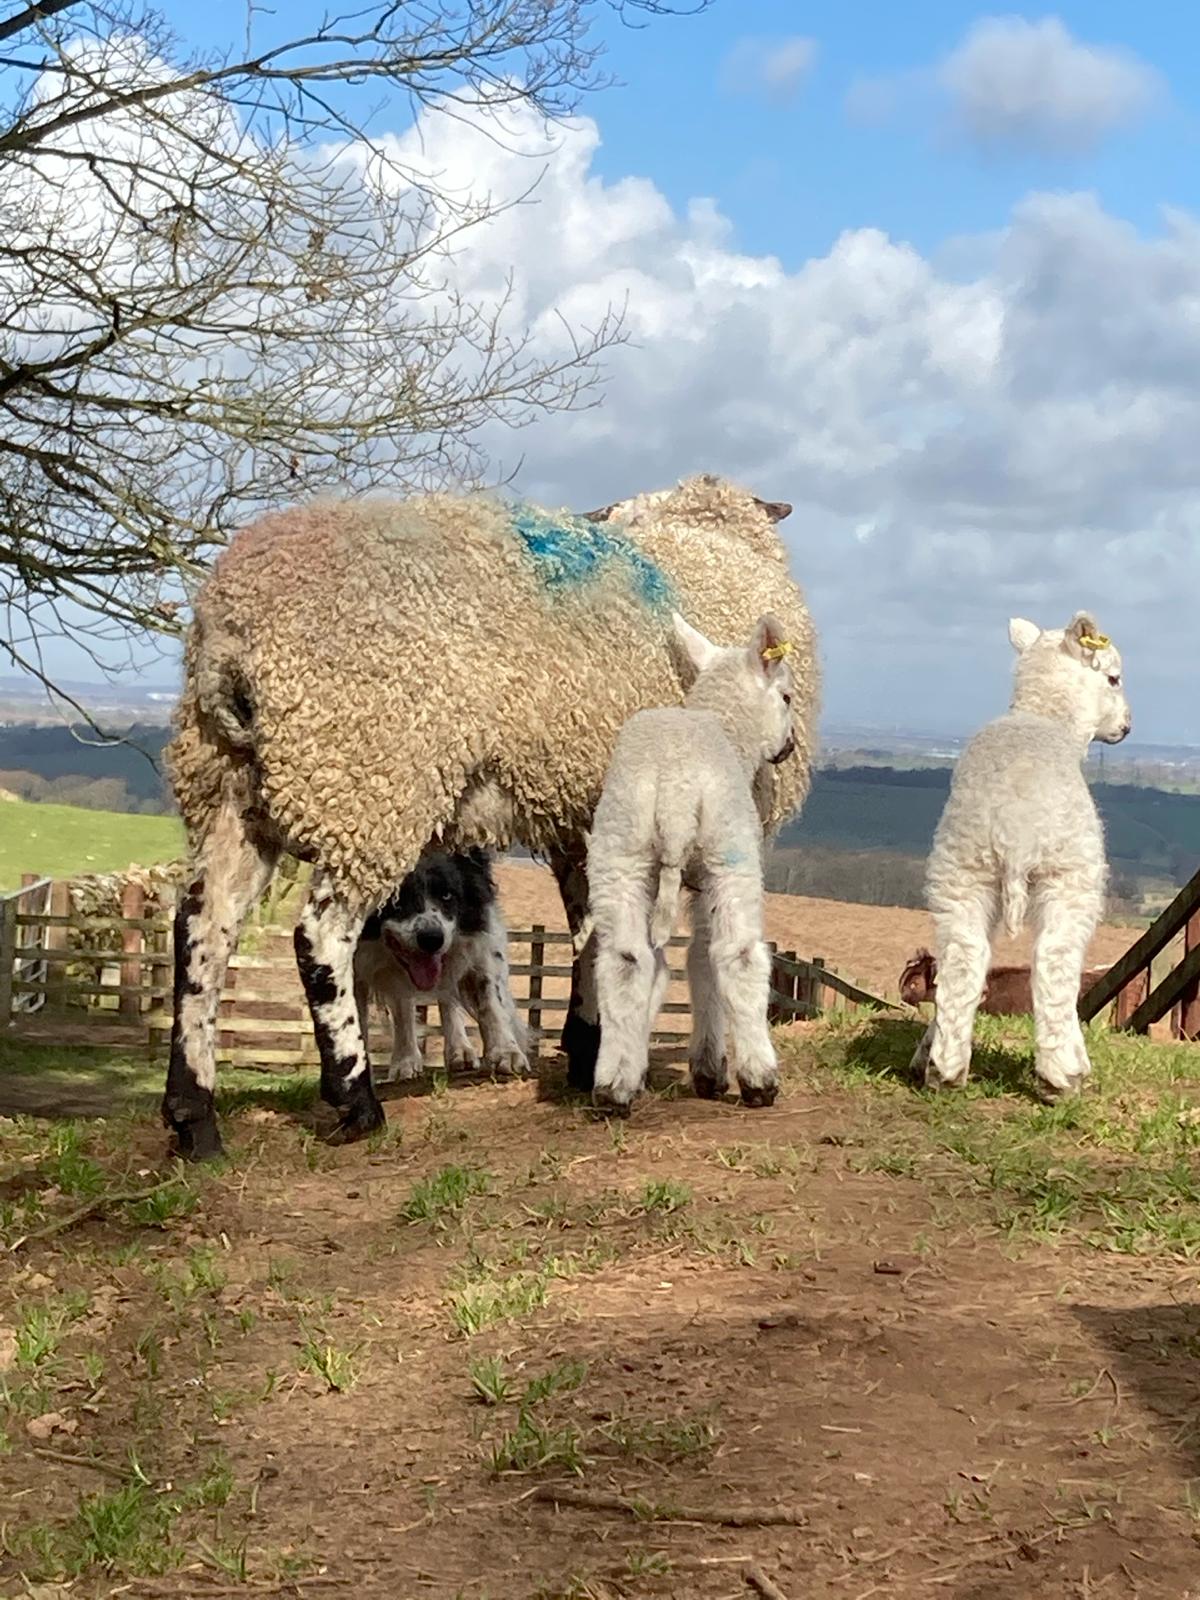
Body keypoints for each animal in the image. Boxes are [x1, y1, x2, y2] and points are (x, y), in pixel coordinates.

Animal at [586, 612, 797, 1115]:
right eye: (786, 697)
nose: (789, 747)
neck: (726, 725)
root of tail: (674, 787)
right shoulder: (711, 876)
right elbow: (704, 957)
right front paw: (711, 1069)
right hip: (729, 852)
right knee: (738, 955)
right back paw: (760, 1079)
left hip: (619, 850)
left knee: (626, 959)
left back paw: (614, 1085)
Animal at [910, 613, 1130, 1099]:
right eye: (1113, 678)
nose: (1126, 727)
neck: (1044, 718)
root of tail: (1015, 829)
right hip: (1068, 872)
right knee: (1053, 959)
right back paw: (1061, 1076)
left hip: (961, 870)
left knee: (963, 959)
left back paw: (943, 1068)